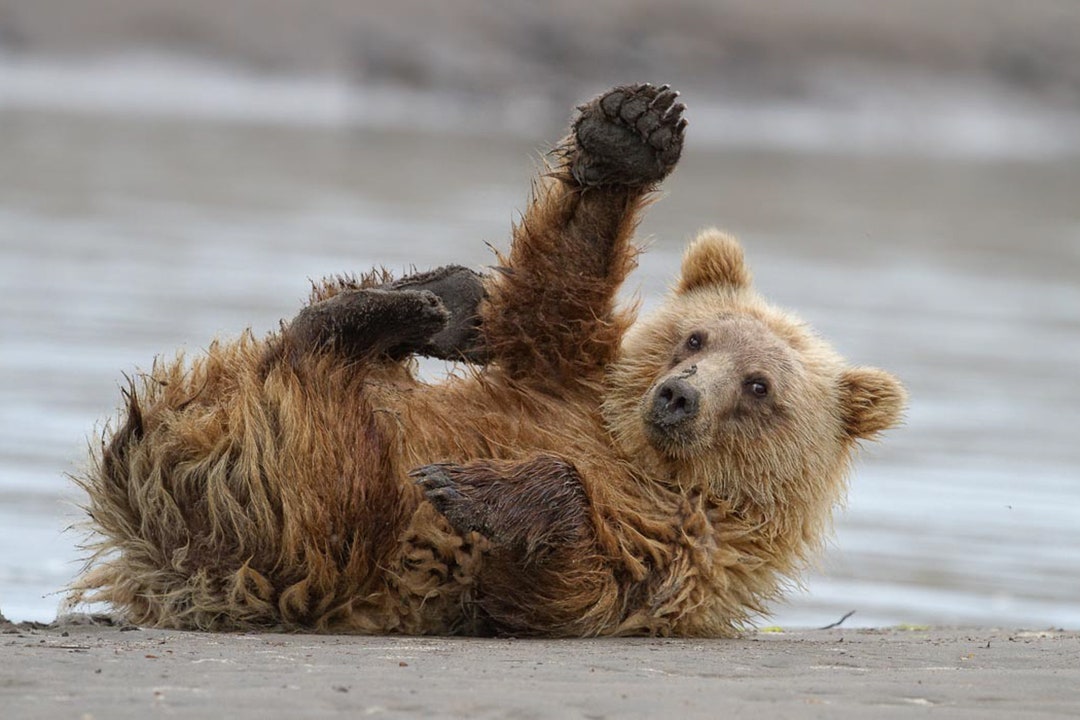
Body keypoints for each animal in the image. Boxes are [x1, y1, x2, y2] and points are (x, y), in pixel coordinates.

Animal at [68, 83, 906, 637]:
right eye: (697, 339)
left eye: (760, 386)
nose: (678, 396)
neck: (640, 453)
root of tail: (149, 547)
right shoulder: (567, 386)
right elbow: (552, 305)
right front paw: (631, 133)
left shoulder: (681, 551)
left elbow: (568, 582)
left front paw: (470, 488)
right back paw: (438, 298)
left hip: (312, 521)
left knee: (325, 429)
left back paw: (391, 317)